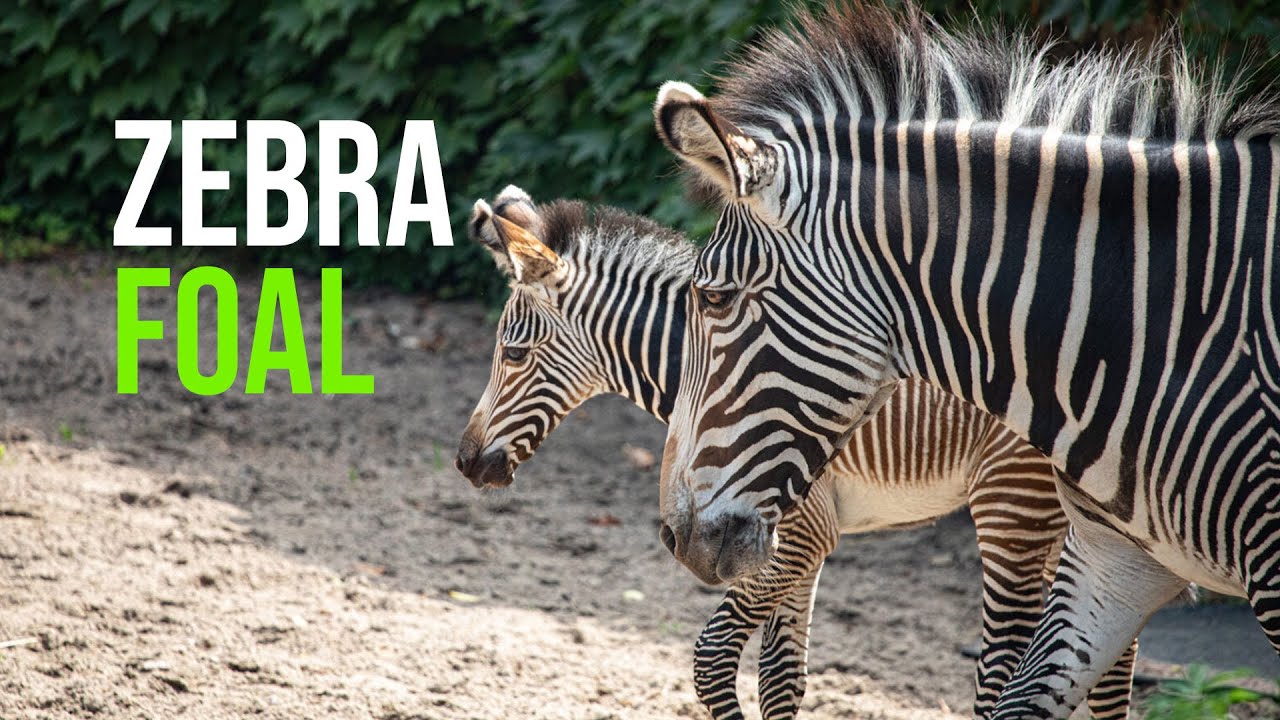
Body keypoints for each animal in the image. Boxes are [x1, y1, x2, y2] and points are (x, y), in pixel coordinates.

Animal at [455, 185, 1136, 718]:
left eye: (513, 354)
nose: (464, 462)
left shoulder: (801, 532)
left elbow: (713, 660)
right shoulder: (792, 541)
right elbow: (782, 679)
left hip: (1011, 503)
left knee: (1005, 667)